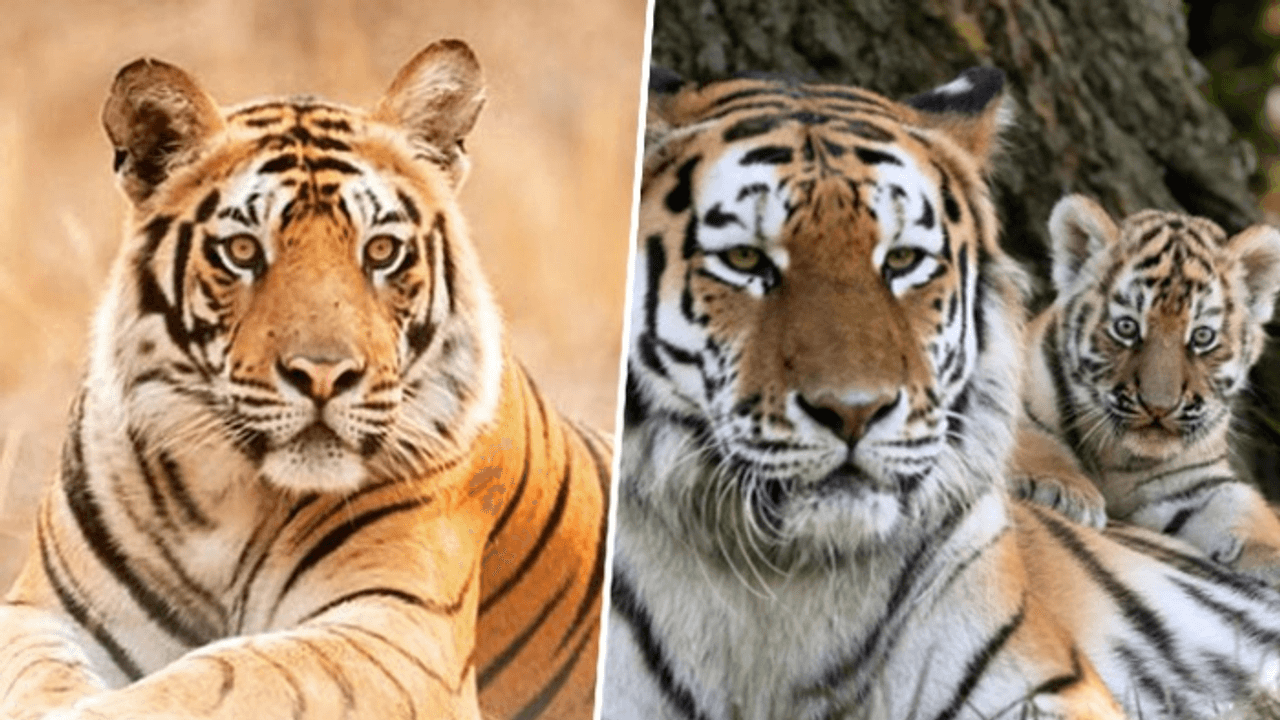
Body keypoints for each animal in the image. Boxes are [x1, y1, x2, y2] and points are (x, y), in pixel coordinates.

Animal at [0, 40, 610, 720]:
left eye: (381, 251)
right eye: (242, 251)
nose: (323, 376)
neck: (224, 496)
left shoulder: (396, 633)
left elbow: (228, 672)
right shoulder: (46, 613)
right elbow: (36, 673)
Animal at [1011, 195, 1280, 587]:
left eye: (1202, 337)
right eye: (1126, 328)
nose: (1158, 407)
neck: (1117, 455)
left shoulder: (1192, 483)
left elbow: (1245, 508)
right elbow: (1031, 439)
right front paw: (1063, 490)